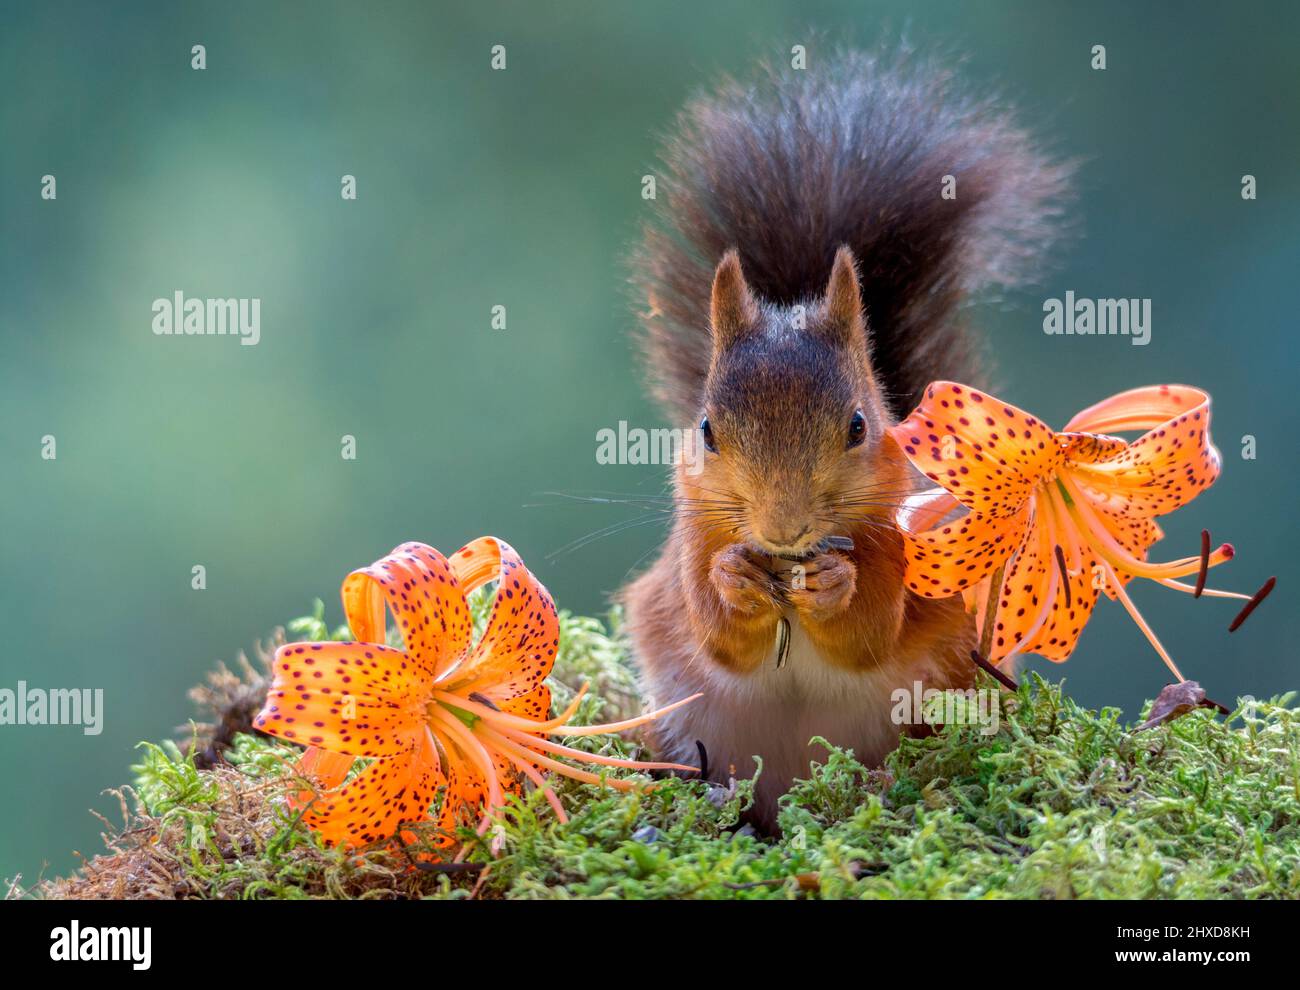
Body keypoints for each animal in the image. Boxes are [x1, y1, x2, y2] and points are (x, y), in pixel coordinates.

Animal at [621, 50, 1071, 831]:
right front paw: (734, 579)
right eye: (707, 431)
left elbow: (870, 635)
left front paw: (835, 583)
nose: (784, 529)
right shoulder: (691, 543)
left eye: (860, 426)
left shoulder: (897, 550)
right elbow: (713, 630)